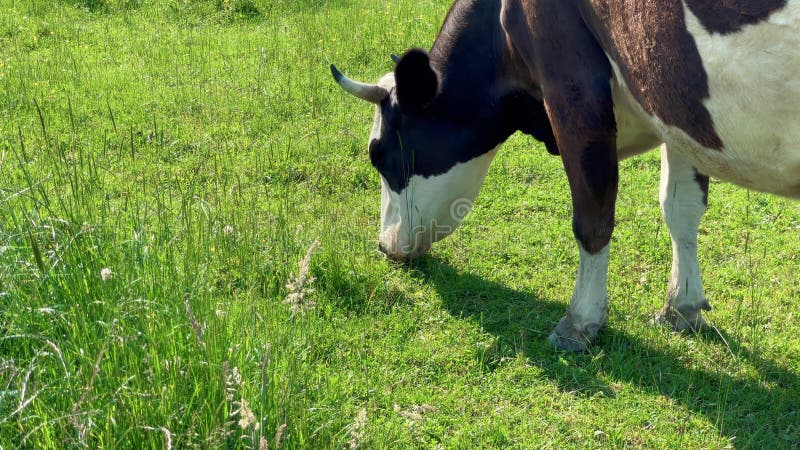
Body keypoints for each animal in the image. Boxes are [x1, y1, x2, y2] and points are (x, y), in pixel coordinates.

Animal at [331, 0, 800, 352]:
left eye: (379, 155)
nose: (385, 245)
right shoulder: (674, 105)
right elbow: (680, 208)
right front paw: (682, 307)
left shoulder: (571, 84)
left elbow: (592, 214)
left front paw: (580, 322)